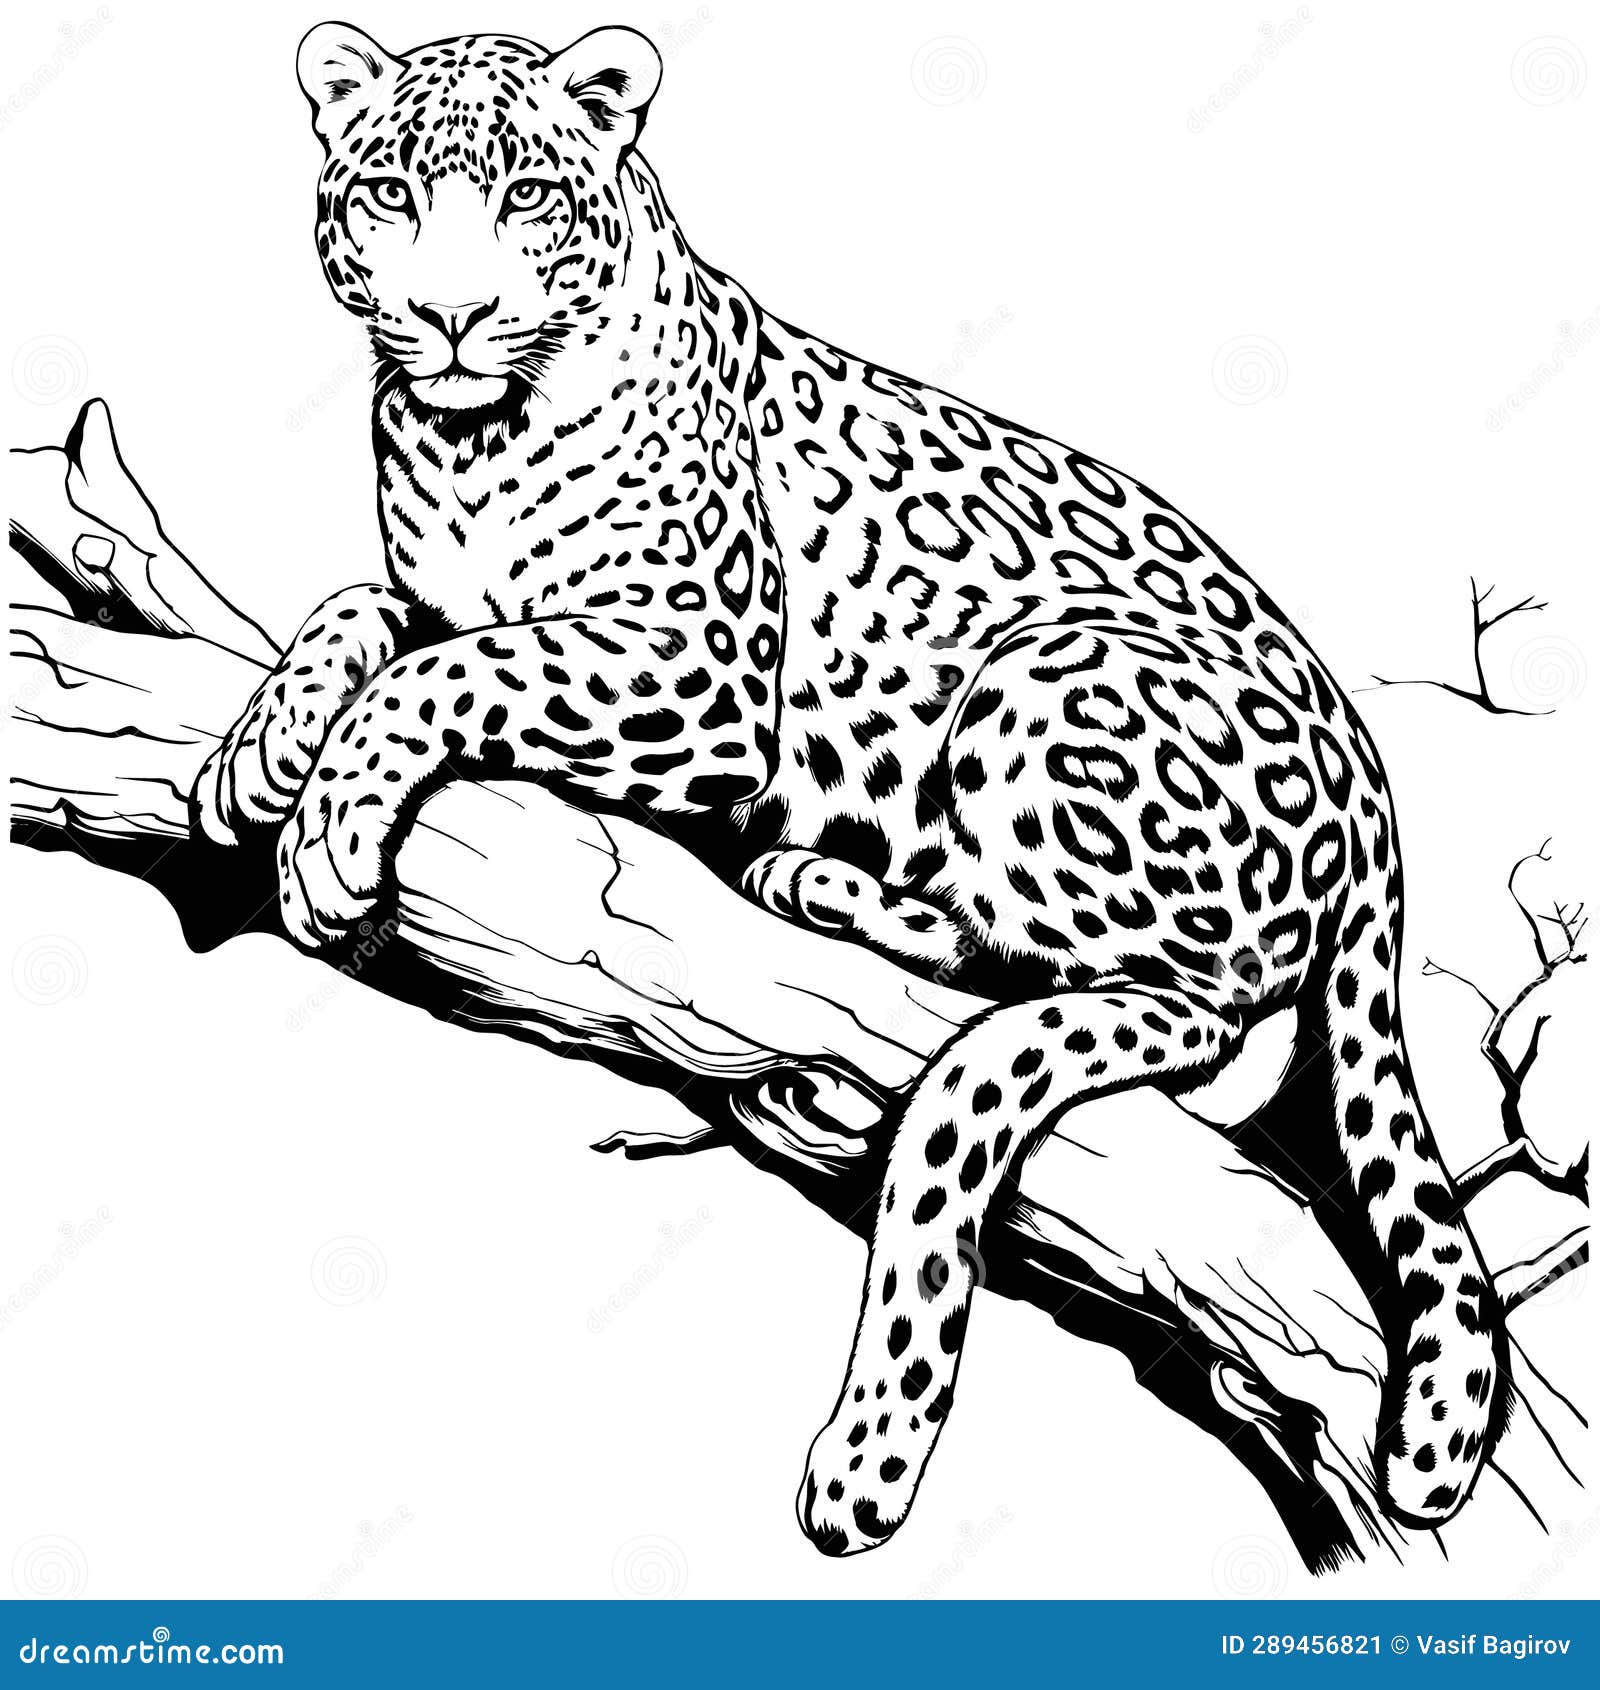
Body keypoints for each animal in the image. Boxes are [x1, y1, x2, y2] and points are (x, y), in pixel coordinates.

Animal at [197, 21, 1510, 1556]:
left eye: (527, 197)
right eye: (392, 195)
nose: (450, 313)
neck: (473, 441)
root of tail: (1377, 800)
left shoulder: (698, 674)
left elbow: (461, 669)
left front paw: (332, 830)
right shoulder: (450, 593)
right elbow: (369, 612)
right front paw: (260, 746)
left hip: (1044, 680)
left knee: (1202, 1016)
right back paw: (818, 879)